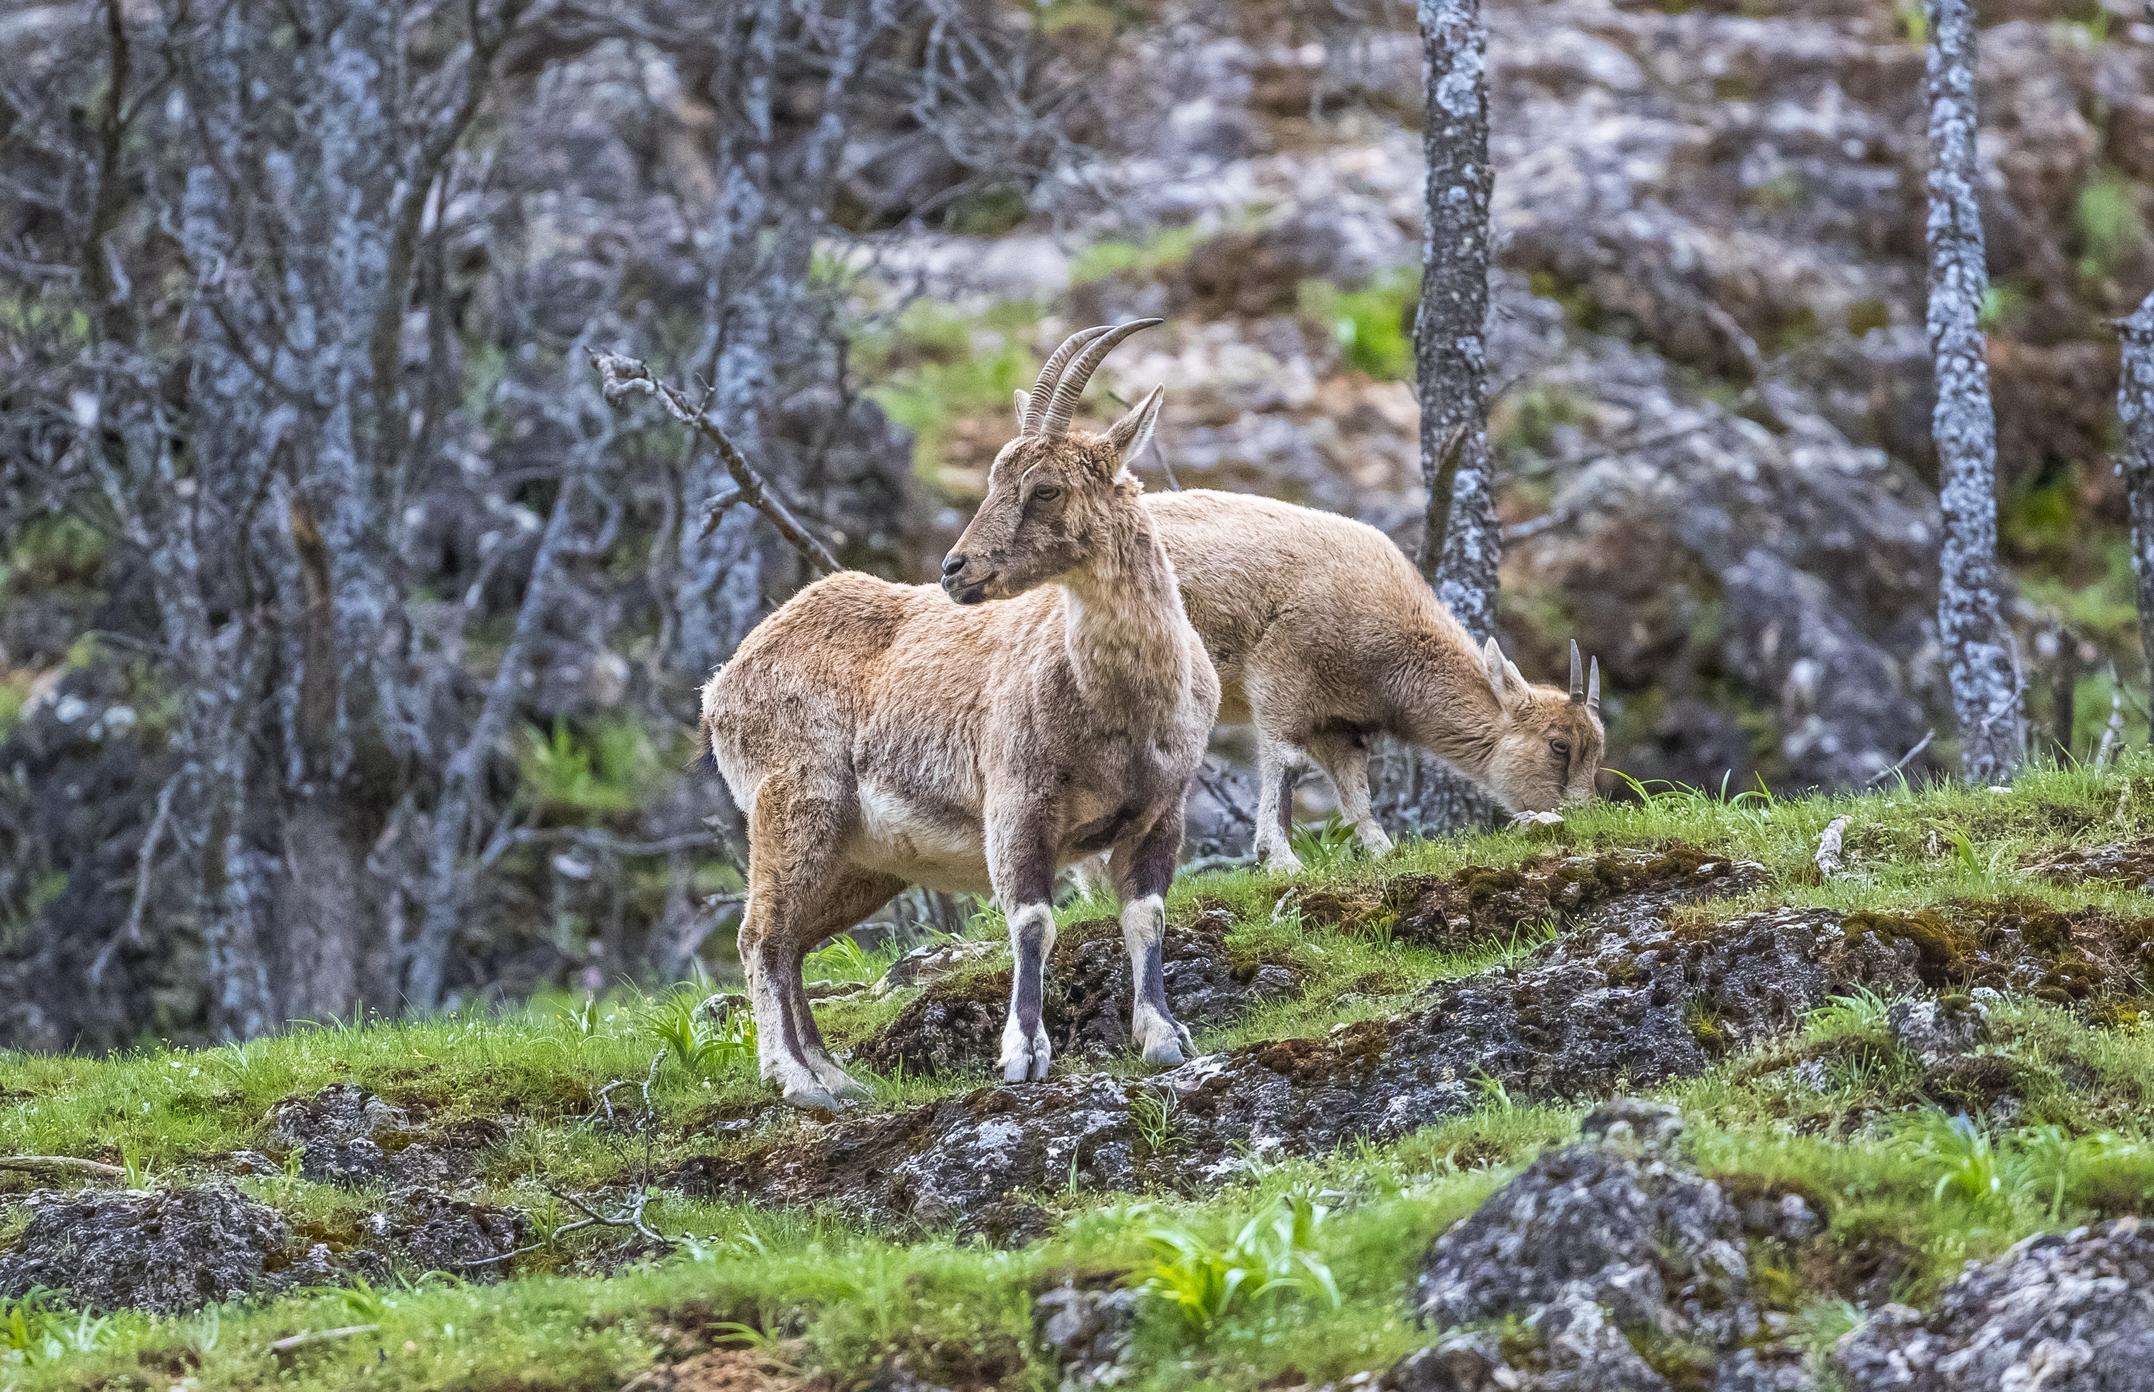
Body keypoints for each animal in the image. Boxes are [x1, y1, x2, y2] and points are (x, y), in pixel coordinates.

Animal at [701, 321, 1219, 1111]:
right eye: (995, 482)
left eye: (1044, 488)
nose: (955, 569)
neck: (1117, 705)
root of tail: (725, 680)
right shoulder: (1017, 804)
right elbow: (1032, 921)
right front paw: (1023, 1054)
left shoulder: (1160, 812)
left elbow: (1146, 915)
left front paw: (1163, 1037)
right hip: (792, 805)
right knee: (759, 936)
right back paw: (795, 1081)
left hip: (862, 861)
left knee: (791, 941)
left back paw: (837, 1077)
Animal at [1138, 490, 1604, 870]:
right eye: (1559, 745)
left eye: (1597, 750)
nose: (1584, 814)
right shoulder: (1281, 674)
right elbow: (1287, 762)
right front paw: (1282, 860)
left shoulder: (1340, 723)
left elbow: (1356, 789)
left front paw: (1383, 851)